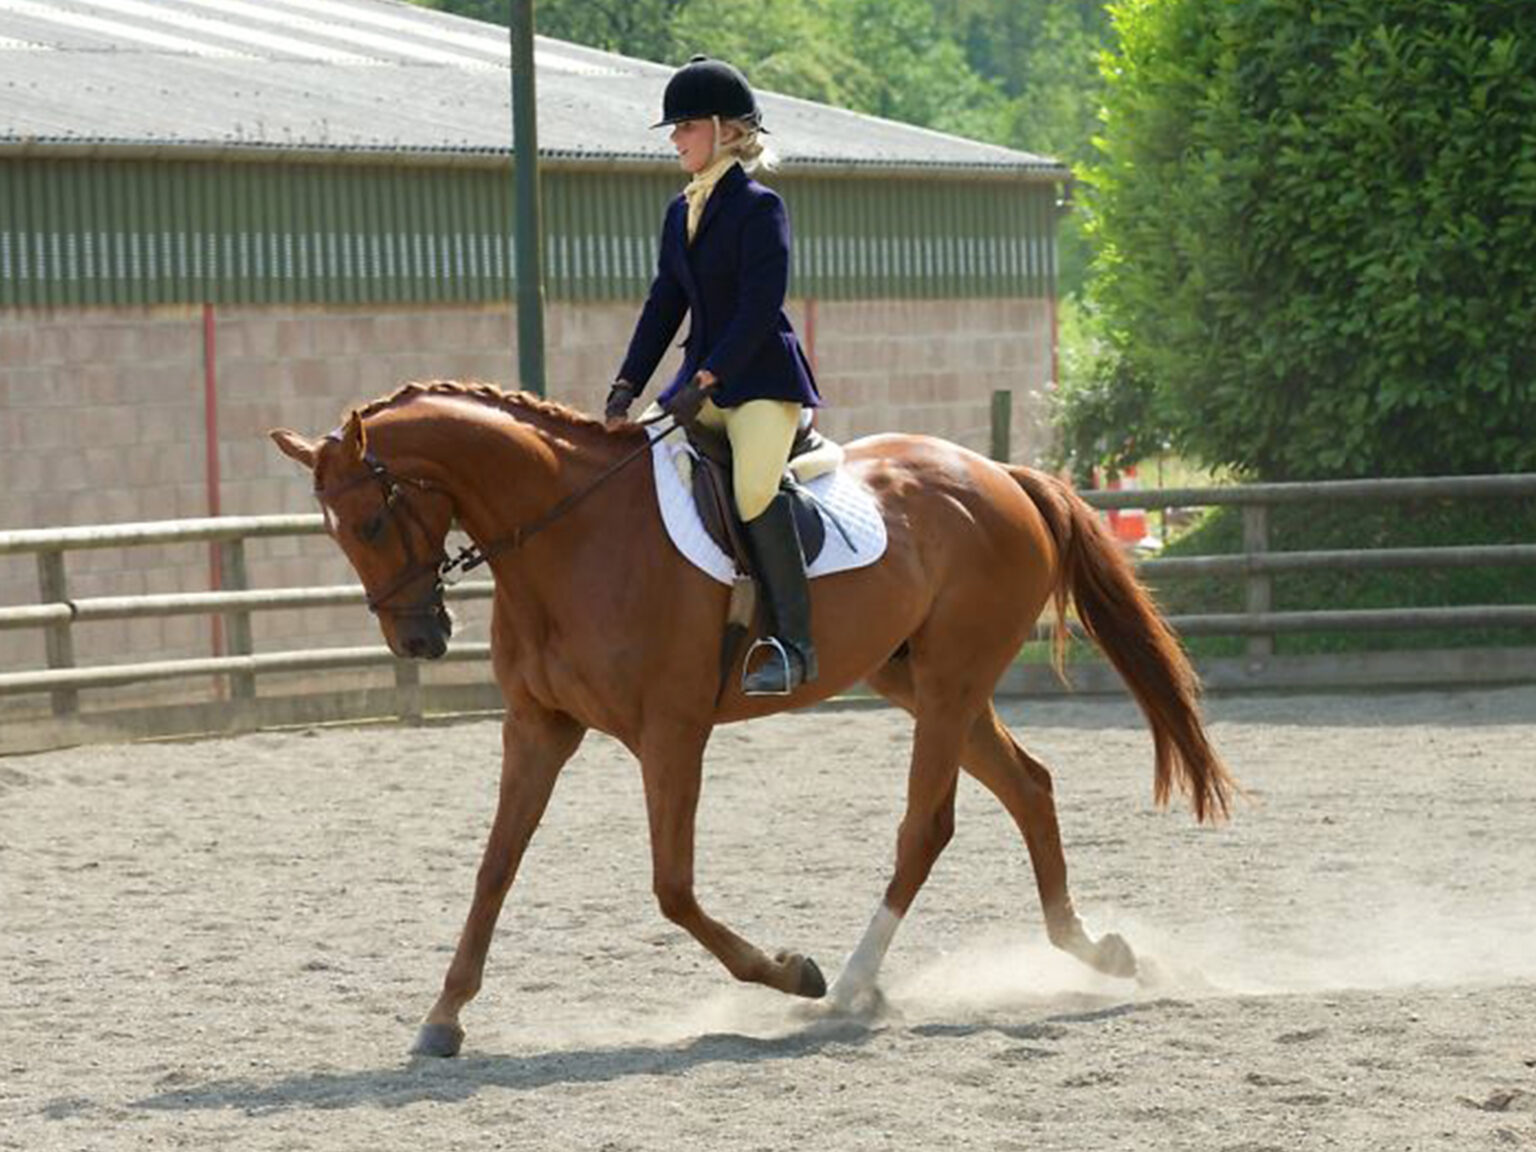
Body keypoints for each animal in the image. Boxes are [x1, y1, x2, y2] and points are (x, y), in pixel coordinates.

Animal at [270, 381, 1234, 1058]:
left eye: (370, 520)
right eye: (335, 533)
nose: (418, 638)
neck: (567, 537)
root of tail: (1003, 477)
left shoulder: (672, 732)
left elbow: (673, 887)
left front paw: (790, 972)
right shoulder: (537, 729)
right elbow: (493, 871)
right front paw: (443, 1017)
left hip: (950, 683)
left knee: (927, 826)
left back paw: (847, 988)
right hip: (919, 682)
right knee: (1029, 786)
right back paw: (1095, 951)